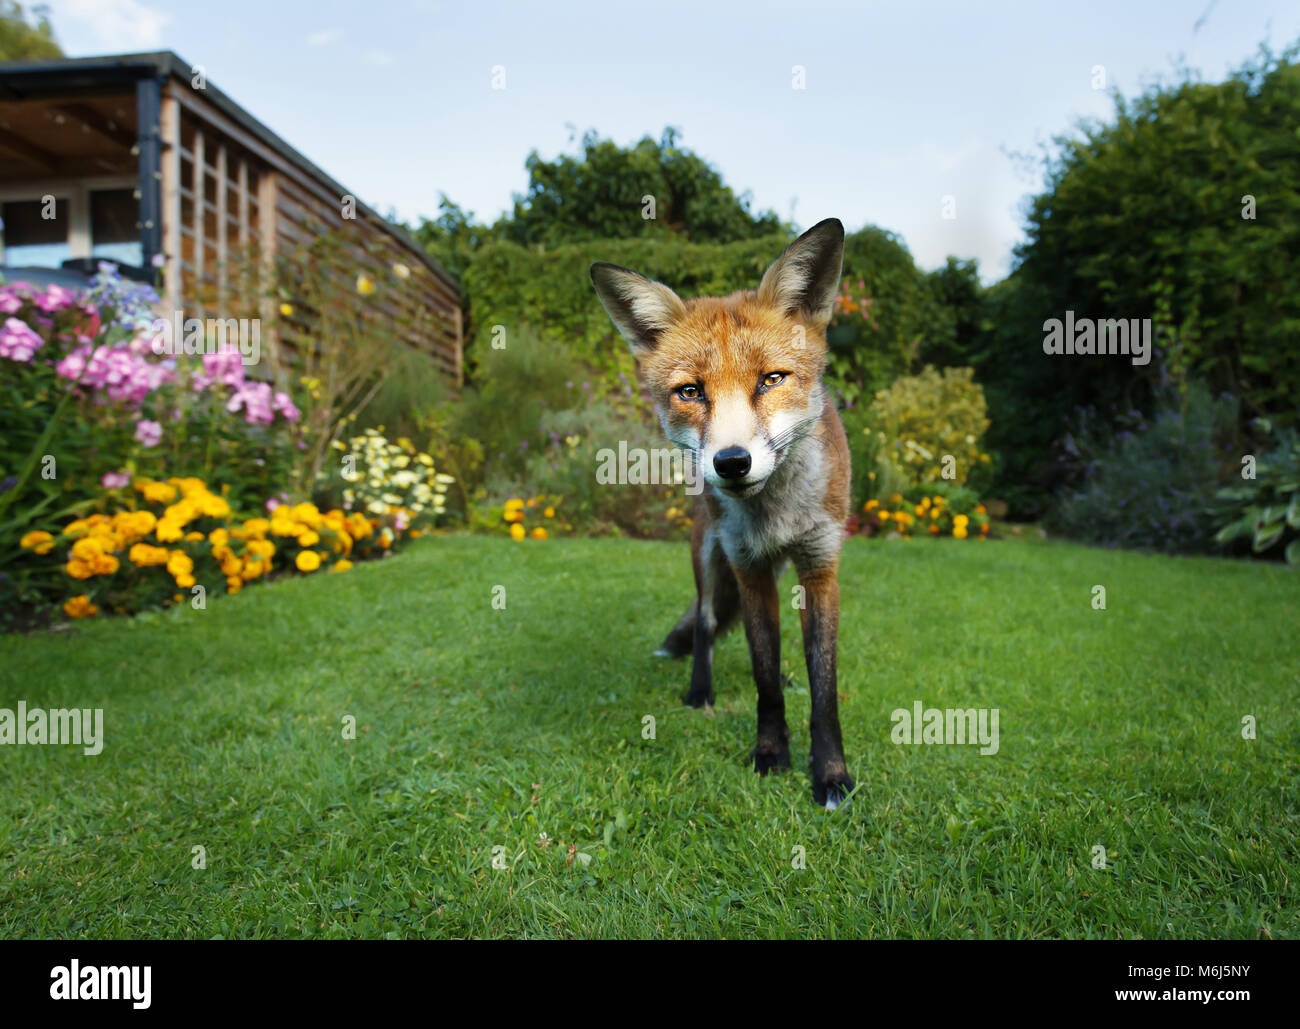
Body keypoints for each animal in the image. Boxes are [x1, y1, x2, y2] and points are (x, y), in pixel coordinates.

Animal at [590, 218, 854, 809]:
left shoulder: (820, 565)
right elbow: (764, 676)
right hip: (710, 563)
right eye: (691, 392)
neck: (776, 515)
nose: (731, 463)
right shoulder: (748, 567)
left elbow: (823, 687)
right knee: (707, 626)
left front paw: (830, 774)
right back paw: (699, 692)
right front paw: (771, 753)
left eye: (771, 380)